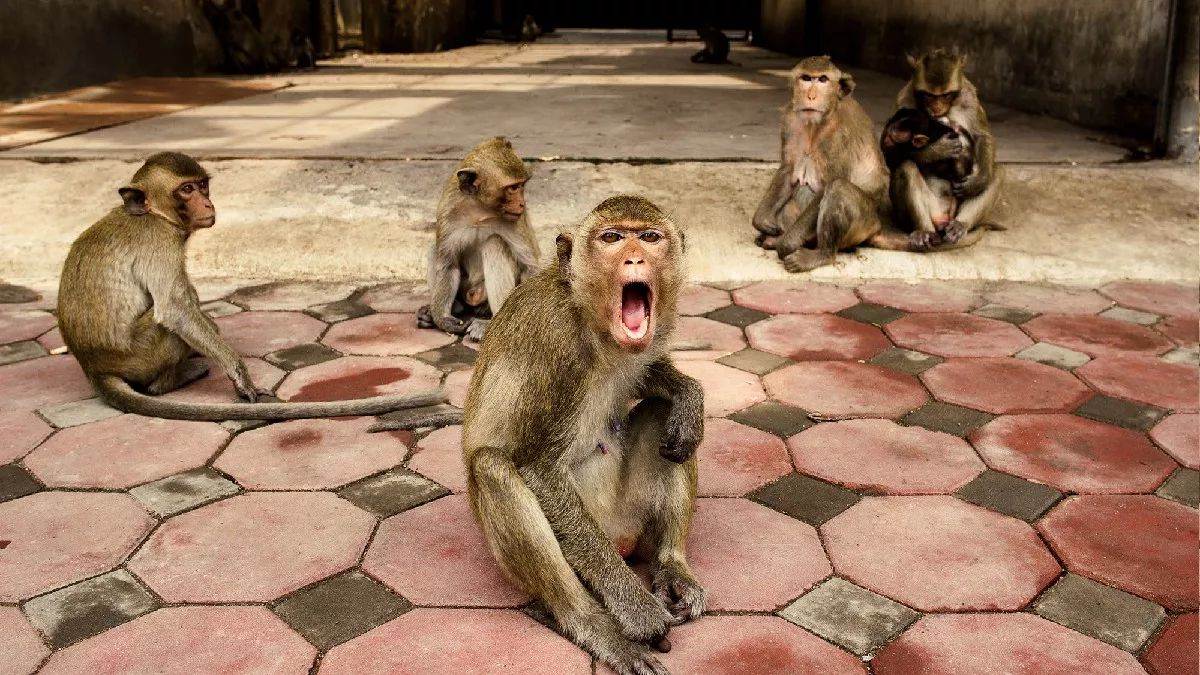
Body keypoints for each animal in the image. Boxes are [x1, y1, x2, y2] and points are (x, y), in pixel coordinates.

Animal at [56, 152, 444, 421]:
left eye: (202, 185)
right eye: (186, 190)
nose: (207, 202)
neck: (151, 214)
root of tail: (94, 368)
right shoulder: (160, 241)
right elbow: (175, 310)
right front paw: (239, 375)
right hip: (142, 354)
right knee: (170, 318)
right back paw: (172, 379)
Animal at [417, 137, 540, 342]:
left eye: (522, 185)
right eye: (513, 187)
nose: (522, 204)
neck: (480, 210)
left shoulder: (517, 220)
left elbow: (530, 267)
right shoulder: (447, 211)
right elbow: (448, 264)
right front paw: (443, 319)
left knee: (494, 243)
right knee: (435, 247)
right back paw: (441, 310)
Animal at [462, 195, 705, 675]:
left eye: (649, 236)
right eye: (611, 238)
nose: (635, 257)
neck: (591, 319)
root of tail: (618, 539)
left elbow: (651, 382)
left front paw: (688, 393)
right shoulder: (555, 340)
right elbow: (537, 467)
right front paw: (636, 612)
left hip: (630, 516)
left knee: (665, 419)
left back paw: (672, 564)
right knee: (492, 466)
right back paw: (593, 623)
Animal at [750, 56, 891, 272]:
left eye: (823, 79)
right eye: (806, 78)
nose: (811, 96)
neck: (819, 122)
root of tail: (876, 227)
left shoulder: (839, 136)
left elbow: (827, 184)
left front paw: (786, 244)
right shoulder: (790, 119)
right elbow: (788, 170)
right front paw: (762, 221)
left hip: (863, 225)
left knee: (839, 188)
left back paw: (821, 254)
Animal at [892, 49, 1003, 247]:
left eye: (945, 95)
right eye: (929, 95)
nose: (936, 107)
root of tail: (944, 219)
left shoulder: (969, 97)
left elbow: (982, 136)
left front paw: (978, 182)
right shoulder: (904, 100)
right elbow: (891, 151)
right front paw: (938, 150)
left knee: (996, 172)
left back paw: (960, 224)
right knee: (906, 167)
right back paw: (924, 230)